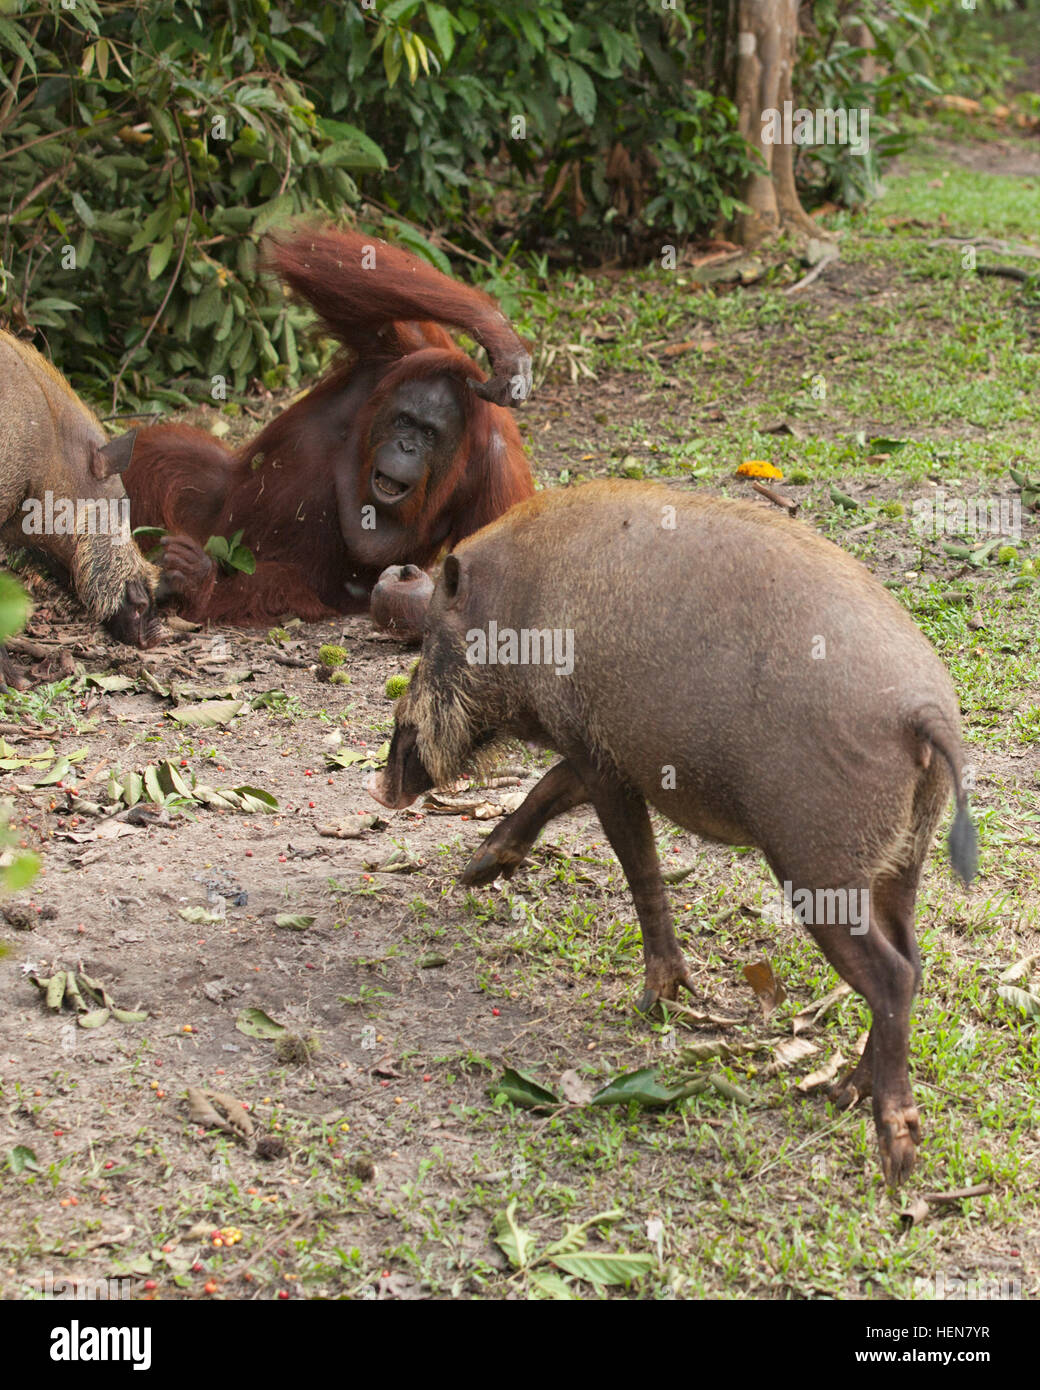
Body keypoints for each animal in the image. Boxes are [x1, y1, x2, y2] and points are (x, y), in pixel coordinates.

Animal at [368, 480, 978, 1186]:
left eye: (430, 640)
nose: (382, 787)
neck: (520, 605)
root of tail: (925, 712)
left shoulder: (600, 755)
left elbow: (638, 865)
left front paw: (654, 1001)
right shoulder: (601, 753)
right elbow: (550, 788)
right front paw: (475, 872)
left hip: (819, 866)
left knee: (893, 977)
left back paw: (895, 1151)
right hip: (901, 861)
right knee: (913, 963)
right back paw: (842, 1093)